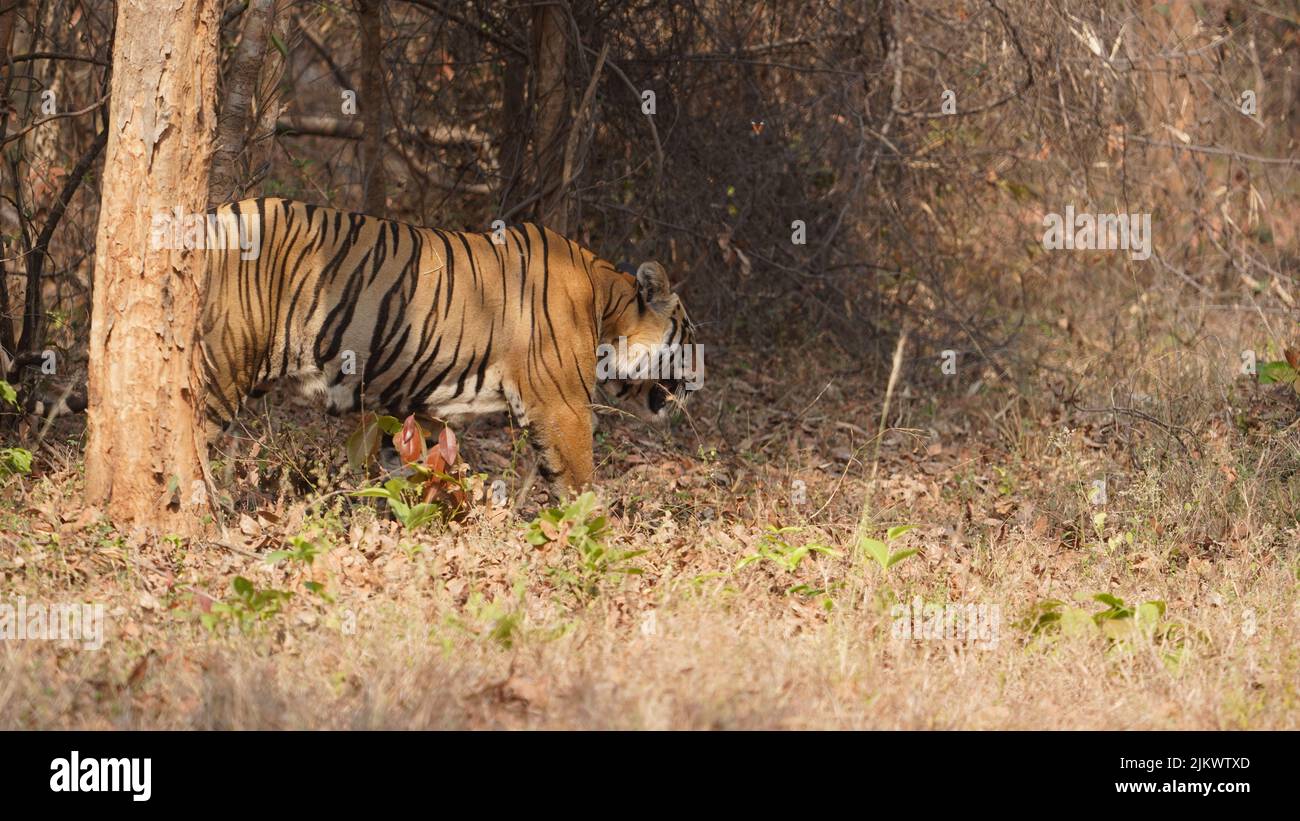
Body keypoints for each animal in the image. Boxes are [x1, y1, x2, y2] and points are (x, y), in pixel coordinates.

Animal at [199, 197, 699, 491]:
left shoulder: (414, 403)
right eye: (689, 333)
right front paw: (591, 540)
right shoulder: (563, 407)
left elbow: (413, 467)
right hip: (223, 367)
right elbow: (578, 483)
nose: (699, 382)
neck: (604, 306)